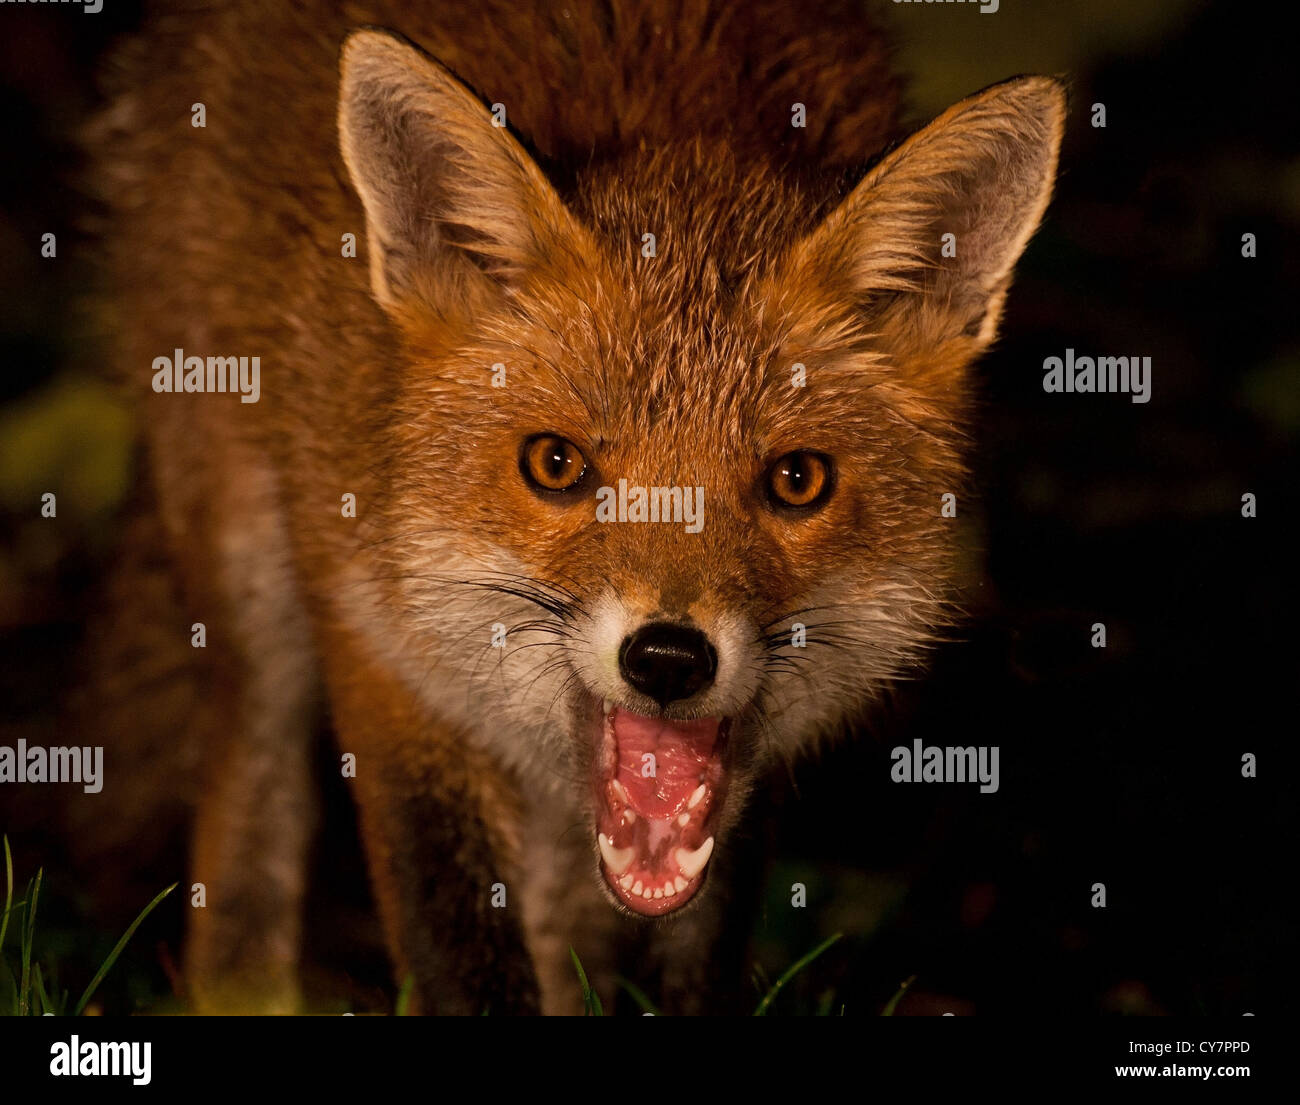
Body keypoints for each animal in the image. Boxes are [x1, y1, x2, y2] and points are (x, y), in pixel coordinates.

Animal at [75, 0, 1064, 1014]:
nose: (668, 658)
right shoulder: (381, 652)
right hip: (244, 554)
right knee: (250, 783)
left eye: (798, 480)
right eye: (556, 464)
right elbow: (452, 930)